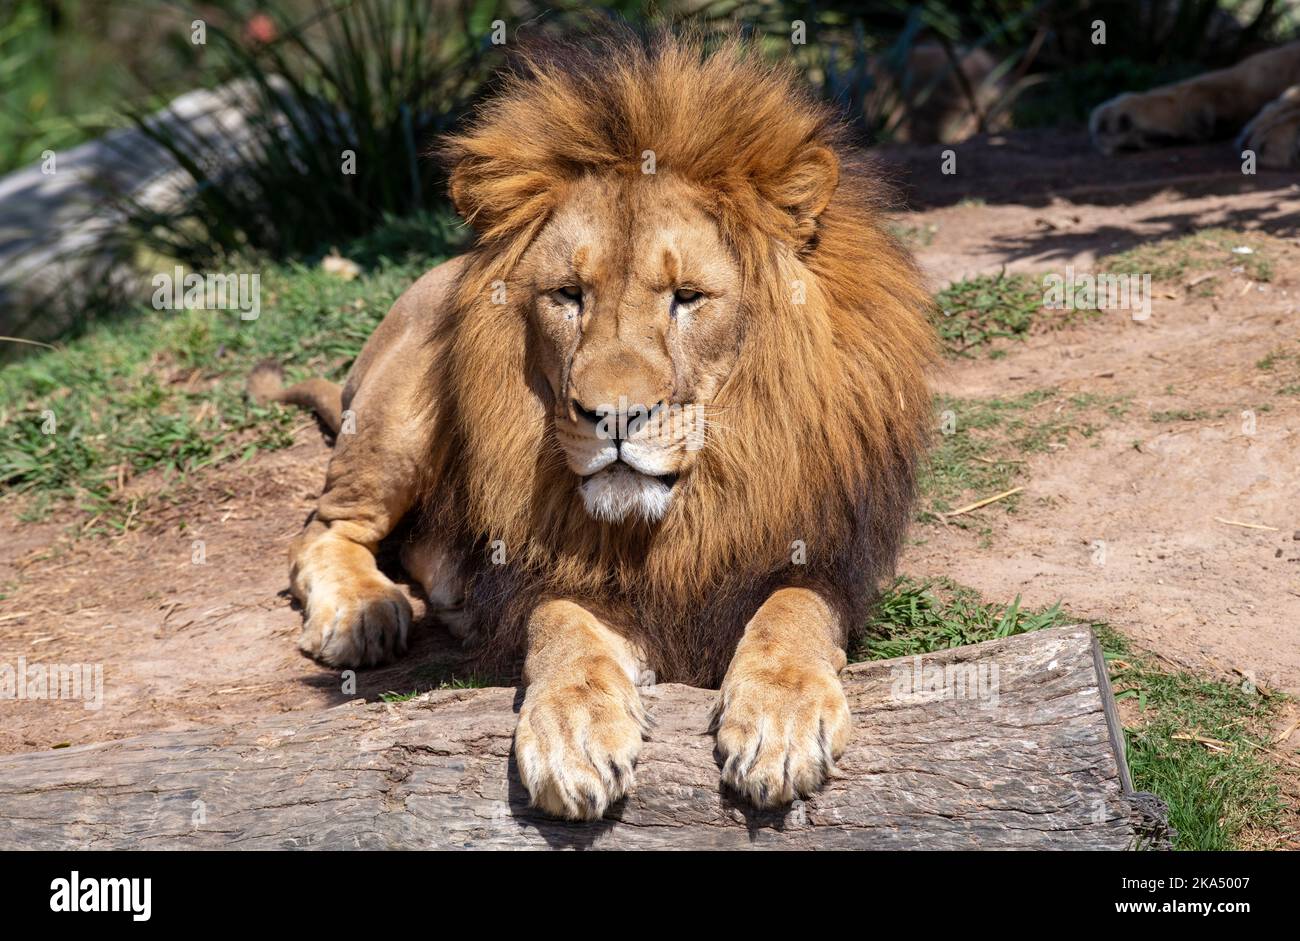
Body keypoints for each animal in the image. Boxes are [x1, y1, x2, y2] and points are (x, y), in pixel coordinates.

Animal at [250, 34, 936, 820]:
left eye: (687, 297)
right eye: (568, 295)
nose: (612, 416)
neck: (690, 507)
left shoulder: (827, 556)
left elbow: (794, 611)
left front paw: (779, 721)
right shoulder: (545, 573)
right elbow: (563, 628)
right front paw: (573, 734)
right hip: (399, 423)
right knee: (324, 527)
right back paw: (362, 613)